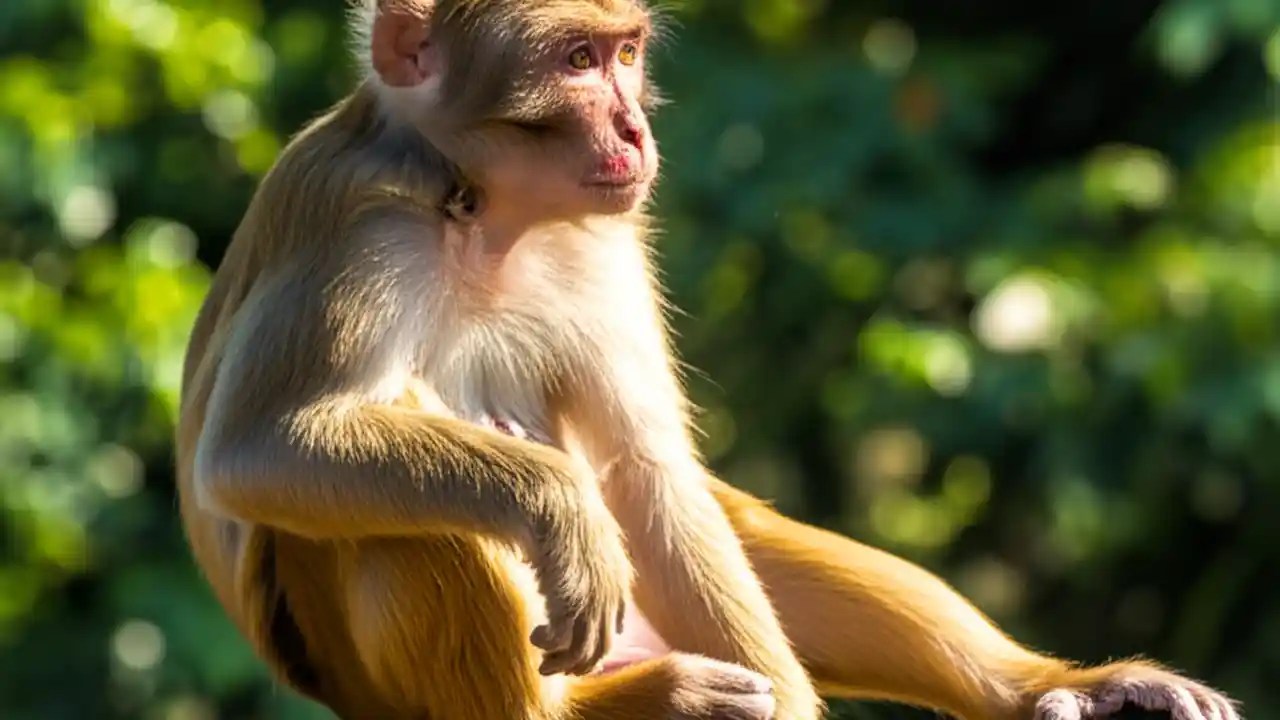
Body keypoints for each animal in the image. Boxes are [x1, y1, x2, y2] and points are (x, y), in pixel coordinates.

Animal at [173, 1, 1242, 719]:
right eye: (574, 60)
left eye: (624, 53)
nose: (636, 126)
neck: (481, 210)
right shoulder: (359, 224)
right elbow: (262, 450)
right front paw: (556, 505)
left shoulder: (603, 240)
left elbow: (648, 474)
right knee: (415, 510)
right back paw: (613, 702)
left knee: (721, 521)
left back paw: (1046, 688)